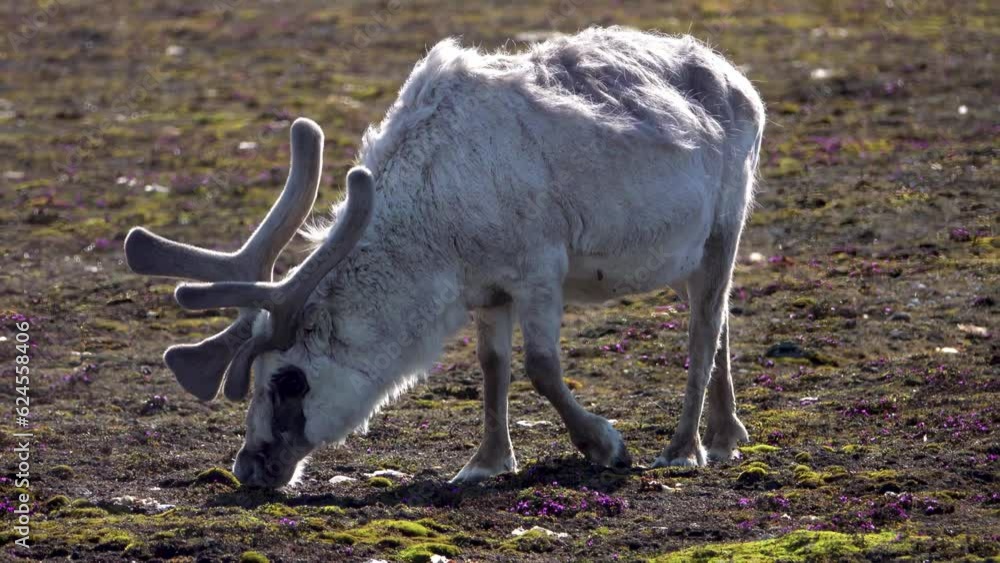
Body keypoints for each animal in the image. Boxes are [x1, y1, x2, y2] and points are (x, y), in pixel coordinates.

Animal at [124, 26, 764, 487]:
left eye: (289, 382)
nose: (250, 468)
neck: (434, 228)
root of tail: (741, 82)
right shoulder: (487, 290)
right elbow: (492, 368)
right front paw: (485, 462)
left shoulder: (539, 270)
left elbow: (541, 367)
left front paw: (604, 444)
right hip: (682, 259)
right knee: (719, 318)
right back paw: (727, 435)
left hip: (724, 226)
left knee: (705, 328)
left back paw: (683, 449)